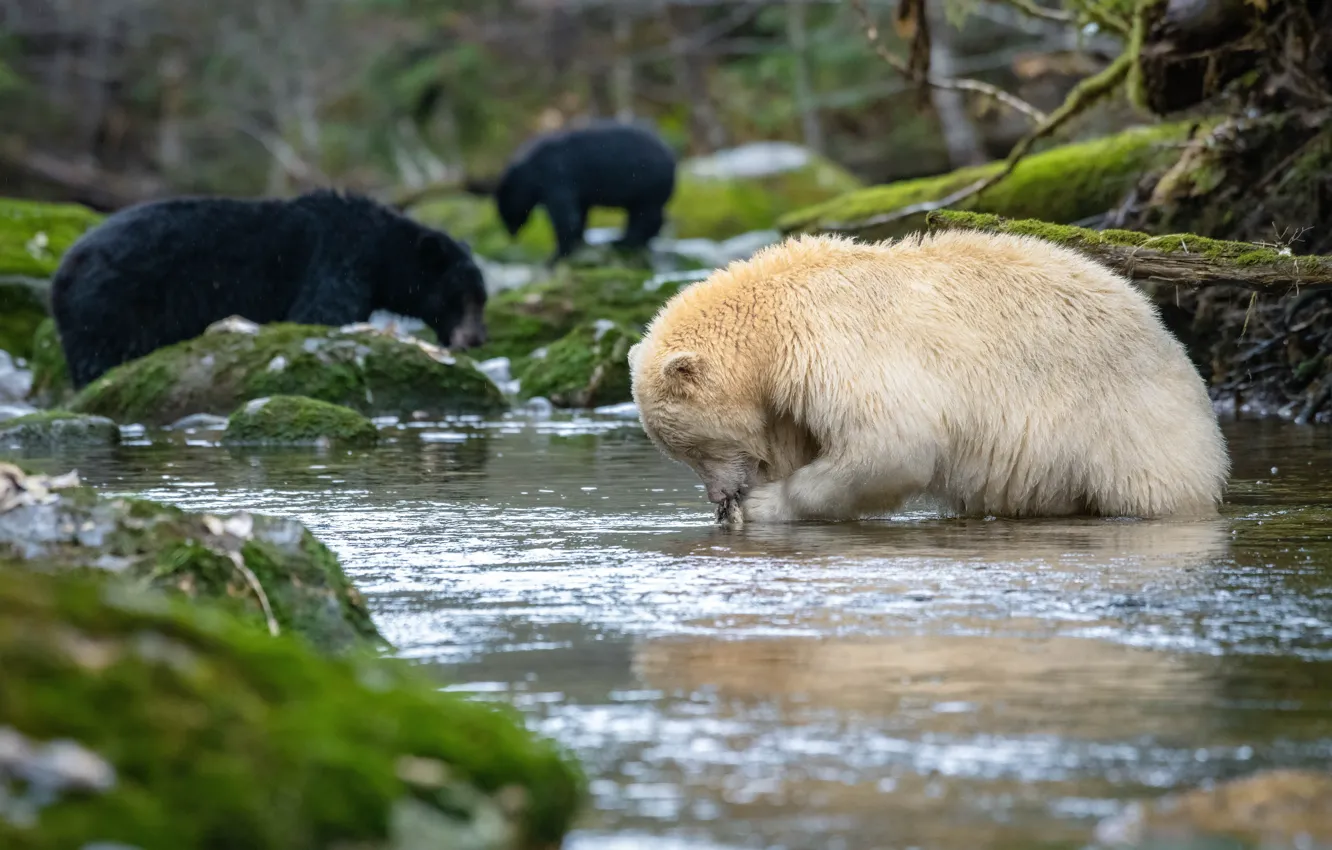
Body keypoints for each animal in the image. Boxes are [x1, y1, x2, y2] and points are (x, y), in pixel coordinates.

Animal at [51, 189, 488, 388]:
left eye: (482, 298)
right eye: (463, 296)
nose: (477, 339)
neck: (382, 255)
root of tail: (61, 274)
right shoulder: (338, 259)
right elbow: (321, 313)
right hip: (112, 306)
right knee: (100, 357)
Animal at [495, 121, 676, 263]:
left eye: (505, 212)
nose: (511, 233)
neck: (530, 170)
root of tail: (672, 157)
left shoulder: (556, 177)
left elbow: (566, 217)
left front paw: (555, 256)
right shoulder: (575, 190)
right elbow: (579, 213)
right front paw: (577, 244)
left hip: (647, 185)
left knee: (645, 215)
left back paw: (622, 241)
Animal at [628, 230, 1229, 523]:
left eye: (693, 448)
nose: (717, 497)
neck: (773, 321)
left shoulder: (837, 347)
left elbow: (891, 443)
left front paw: (765, 507)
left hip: (1127, 425)